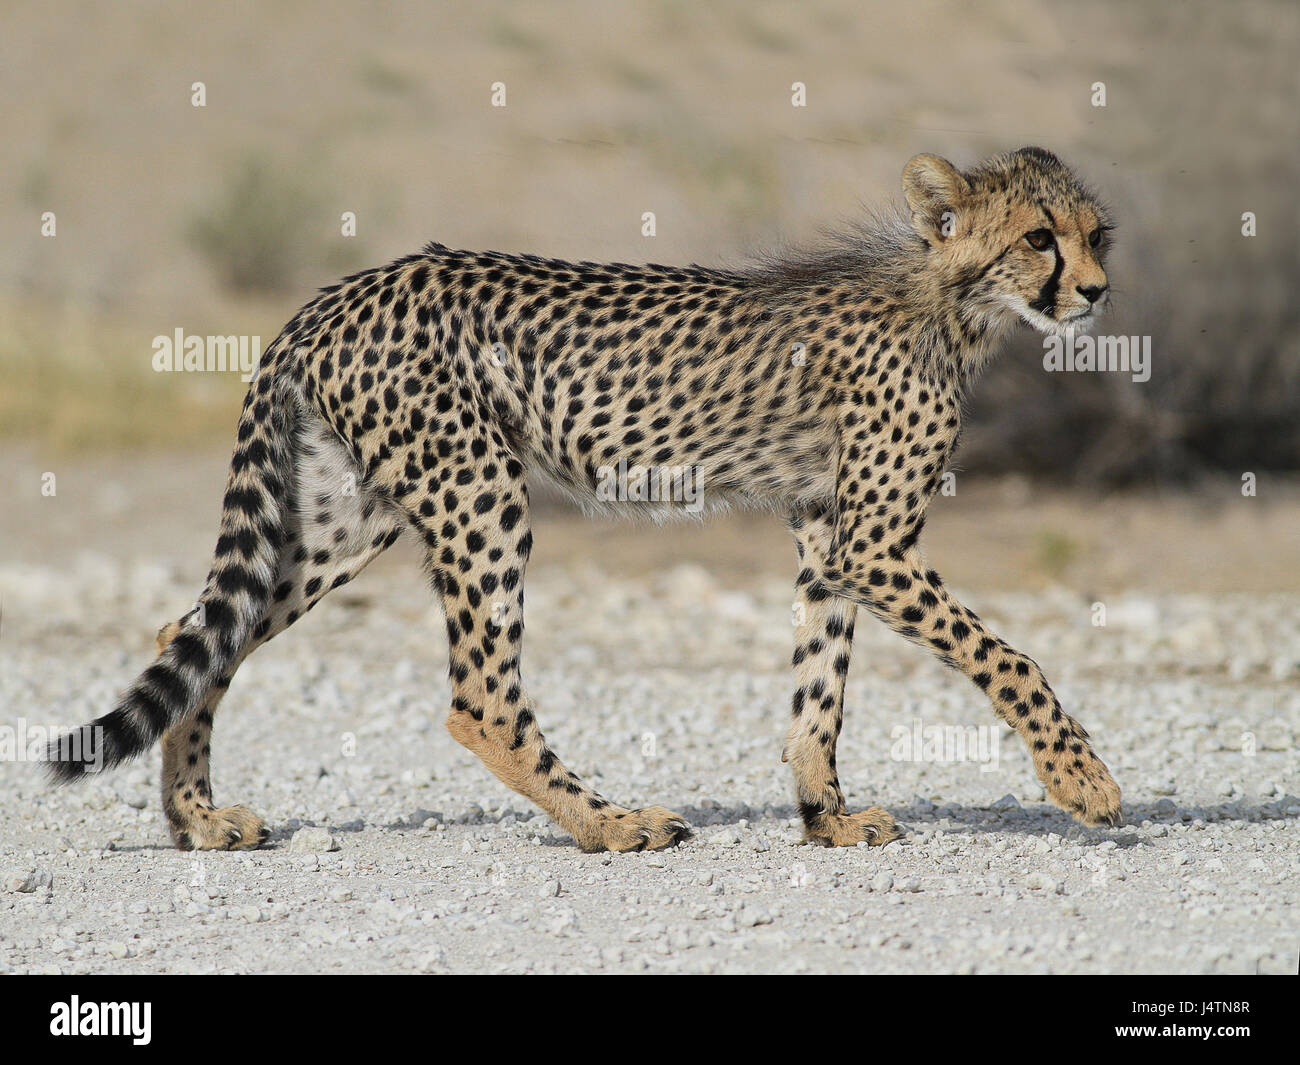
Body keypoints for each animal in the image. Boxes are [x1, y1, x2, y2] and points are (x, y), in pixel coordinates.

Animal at [50, 145, 1122, 852]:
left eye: (1096, 233)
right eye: (1039, 238)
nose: (1099, 290)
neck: (952, 302)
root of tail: (342, 290)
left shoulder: (828, 532)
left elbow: (822, 686)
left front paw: (827, 816)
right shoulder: (874, 543)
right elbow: (1010, 655)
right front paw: (1081, 779)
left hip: (351, 516)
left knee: (196, 634)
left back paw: (196, 820)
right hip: (478, 493)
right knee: (481, 700)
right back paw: (612, 822)